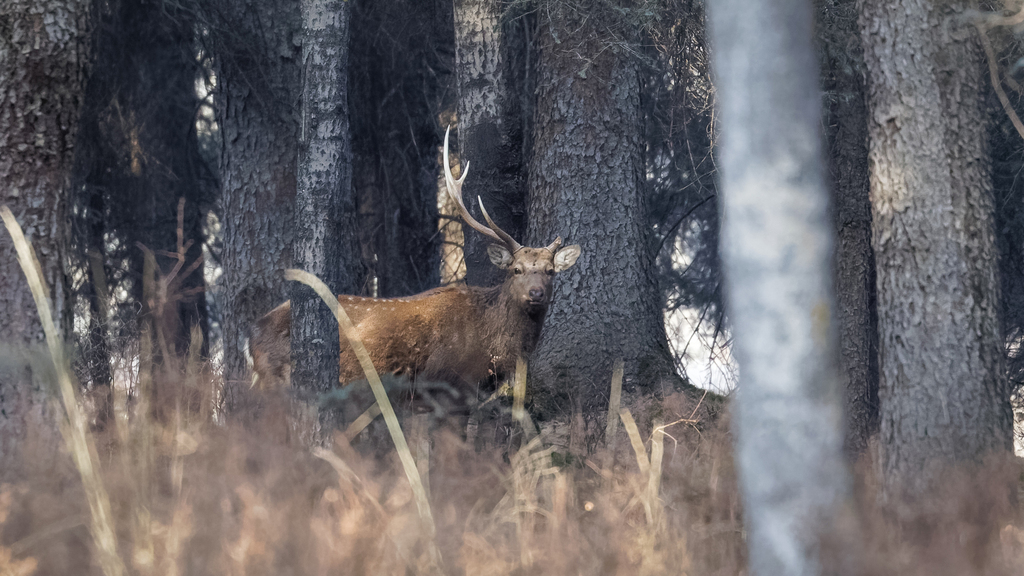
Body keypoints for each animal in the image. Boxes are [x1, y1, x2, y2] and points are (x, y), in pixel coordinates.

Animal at [247, 127, 581, 408]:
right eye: (516, 269)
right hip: (276, 379)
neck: (490, 350)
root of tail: (250, 334)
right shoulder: (447, 386)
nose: (536, 293)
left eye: (551, 271)